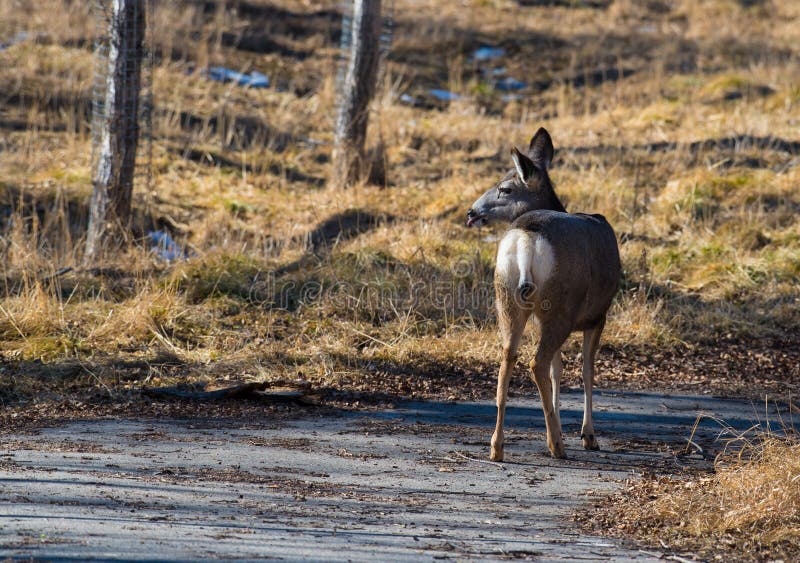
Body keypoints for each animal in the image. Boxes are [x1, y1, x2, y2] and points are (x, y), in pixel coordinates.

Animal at [466, 128, 621, 460]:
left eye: (505, 188)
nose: (471, 211)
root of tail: (525, 237)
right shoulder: (597, 315)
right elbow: (586, 371)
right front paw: (588, 435)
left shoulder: (543, 319)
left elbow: (557, 371)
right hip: (560, 305)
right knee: (536, 363)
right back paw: (556, 445)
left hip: (508, 298)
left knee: (508, 357)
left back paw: (497, 446)